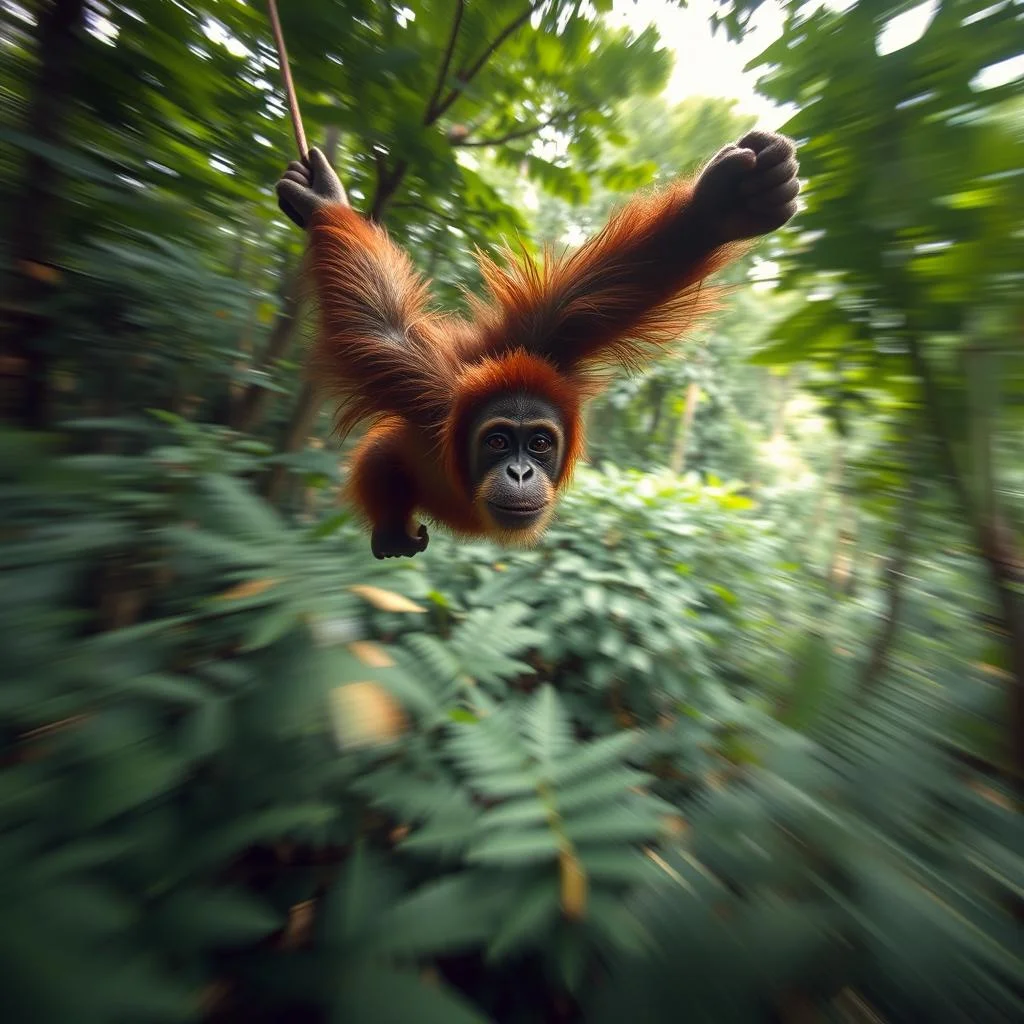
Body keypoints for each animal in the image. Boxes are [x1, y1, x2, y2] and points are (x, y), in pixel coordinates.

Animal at [276, 131, 799, 559]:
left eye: (541, 443)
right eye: (499, 441)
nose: (521, 473)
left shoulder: (550, 346)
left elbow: (595, 295)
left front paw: (725, 205)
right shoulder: (426, 392)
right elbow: (379, 330)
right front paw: (324, 202)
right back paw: (391, 533)